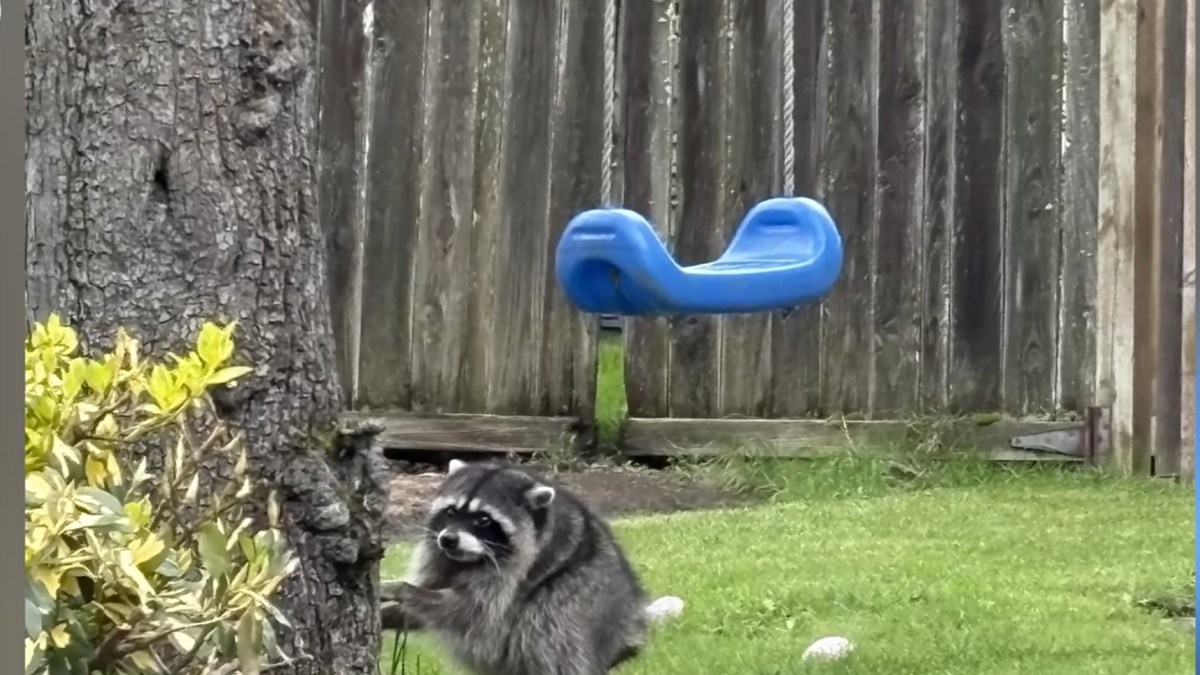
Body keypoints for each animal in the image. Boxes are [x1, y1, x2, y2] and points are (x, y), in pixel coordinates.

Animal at [386, 459, 666, 675]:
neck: (470, 559)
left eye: (483, 519)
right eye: (451, 512)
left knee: (546, 630)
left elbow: (468, 611)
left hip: (576, 602)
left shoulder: (515, 575)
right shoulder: (441, 558)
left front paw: (405, 590)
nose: (448, 540)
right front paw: (391, 612)